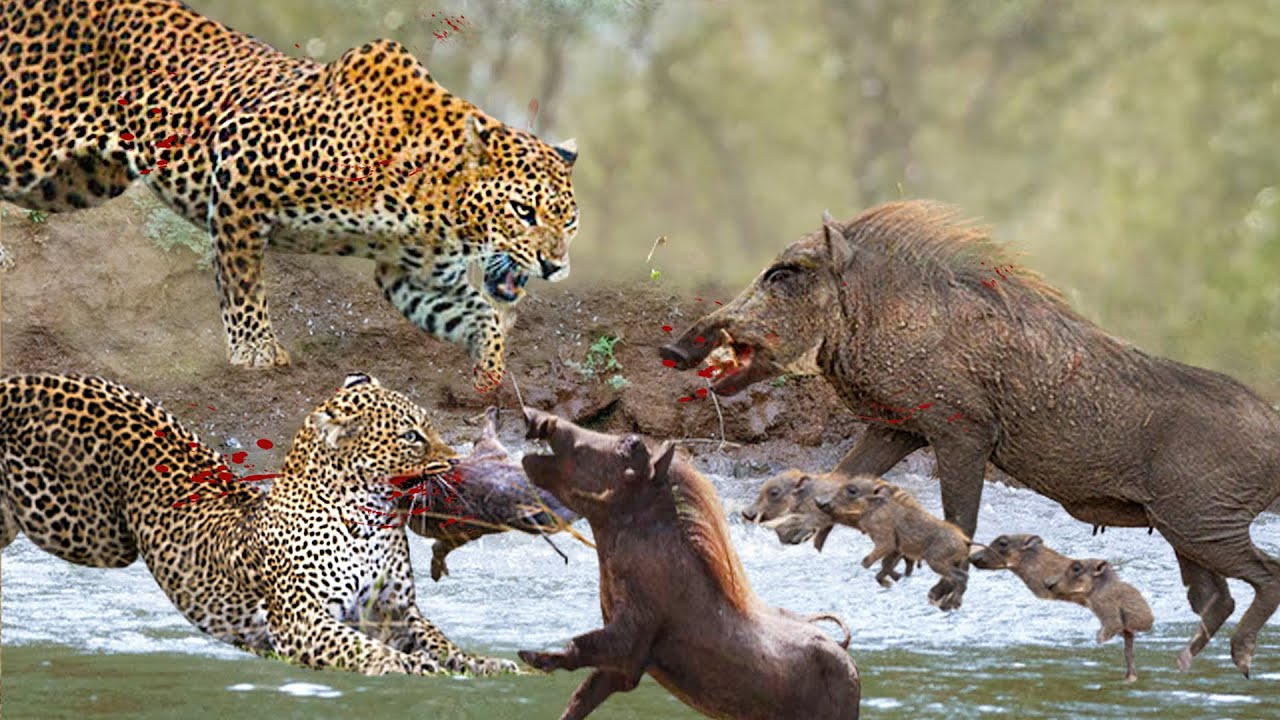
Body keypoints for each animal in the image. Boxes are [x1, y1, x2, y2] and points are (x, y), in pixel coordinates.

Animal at [0, 0, 579, 391]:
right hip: (23, 142)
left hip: (73, 179)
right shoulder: (237, 163)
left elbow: (479, 315)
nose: (555, 266)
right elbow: (242, 279)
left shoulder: (411, 276)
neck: (436, 207)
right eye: (523, 211)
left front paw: (489, 372)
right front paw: (255, 353)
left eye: (569, 224)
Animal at [0, 371, 521, 676]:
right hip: (85, 533)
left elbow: (444, 643)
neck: (370, 519)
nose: (456, 461)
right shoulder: (304, 621)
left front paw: (490, 665)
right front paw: (421, 670)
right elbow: (370, 653)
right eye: (412, 436)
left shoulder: (395, 610)